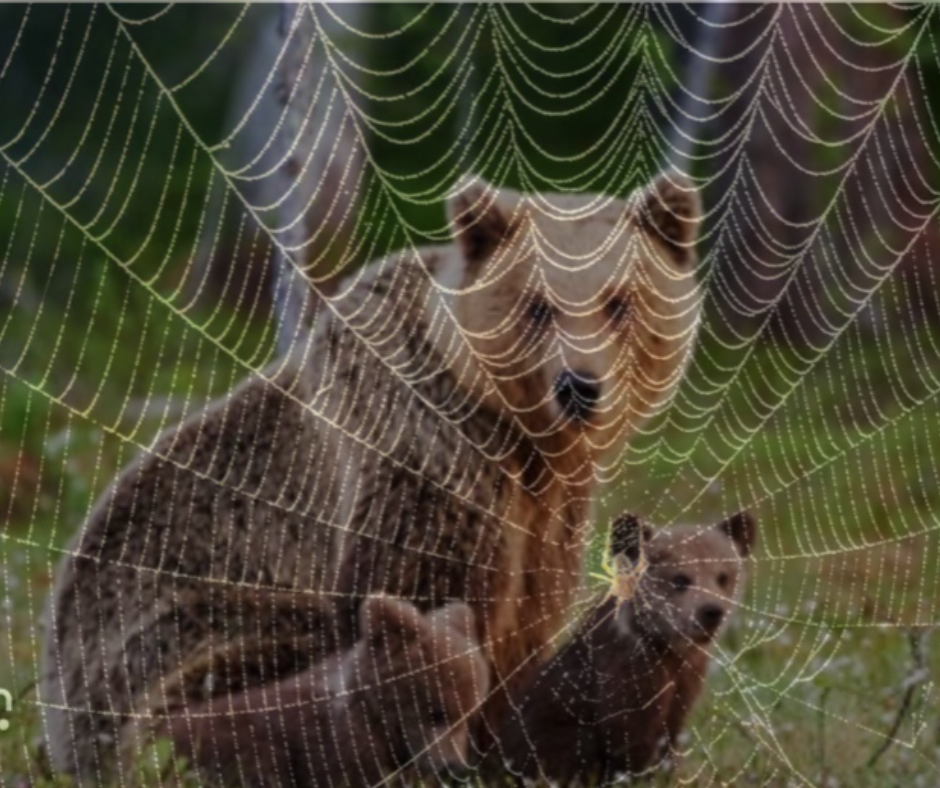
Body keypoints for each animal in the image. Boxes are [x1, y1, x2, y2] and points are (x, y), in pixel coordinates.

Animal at [495, 511, 756, 784]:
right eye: (680, 579)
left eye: (723, 576)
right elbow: (629, 742)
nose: (712, 611)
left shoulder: (685, 682)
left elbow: (670, 739)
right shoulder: (626, 680)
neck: (667, 648)